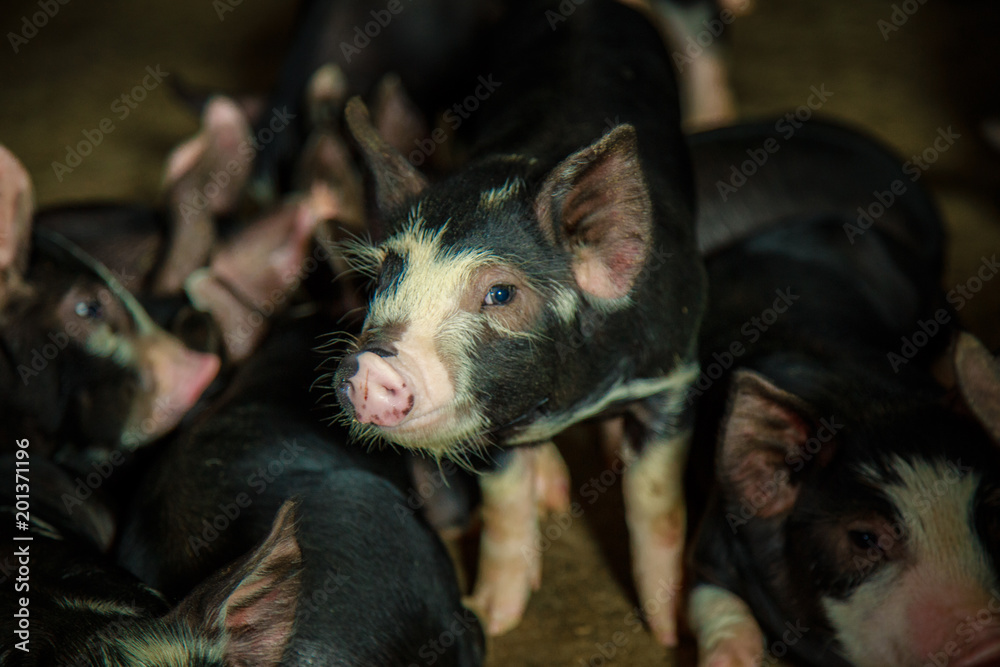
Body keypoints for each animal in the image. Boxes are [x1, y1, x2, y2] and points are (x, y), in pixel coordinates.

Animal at [329, 0, 705, 643]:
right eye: (382, 278)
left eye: (500, 293)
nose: (370, 364)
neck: (568, 400)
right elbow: (505, 504)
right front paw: (494, 616)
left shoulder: (673, 371)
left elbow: (656, 502)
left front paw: (668, 630)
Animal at [682, 120, 1000, 666]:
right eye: (865, 538)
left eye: (987, 511)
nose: (987, 645)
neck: (861, 403)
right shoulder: (711, 548)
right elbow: (708, 598)